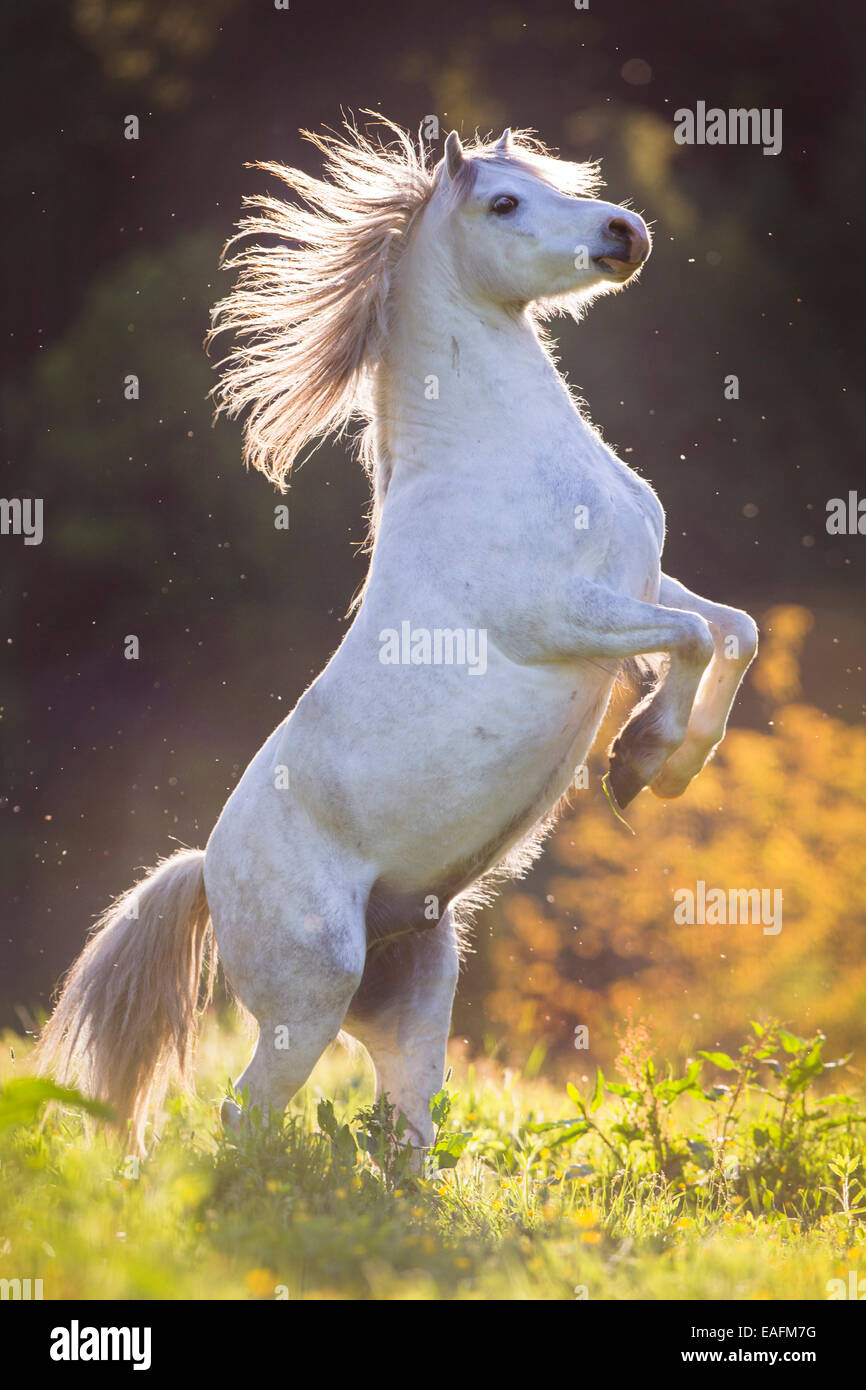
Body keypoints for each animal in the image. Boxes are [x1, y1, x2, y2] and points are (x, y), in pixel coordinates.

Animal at [36, 116, 757, 1154]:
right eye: (504, 201)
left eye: (550, 177)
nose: (626, 233)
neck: (495, 458)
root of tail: (207, 872)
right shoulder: (564, 617)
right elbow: (694, 643)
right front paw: (640, 761)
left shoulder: (641, 582)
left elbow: (732, 631)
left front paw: (667, 764)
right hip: (309, 999)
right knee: (242, 1113)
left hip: (414, 991)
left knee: (403, 1127)